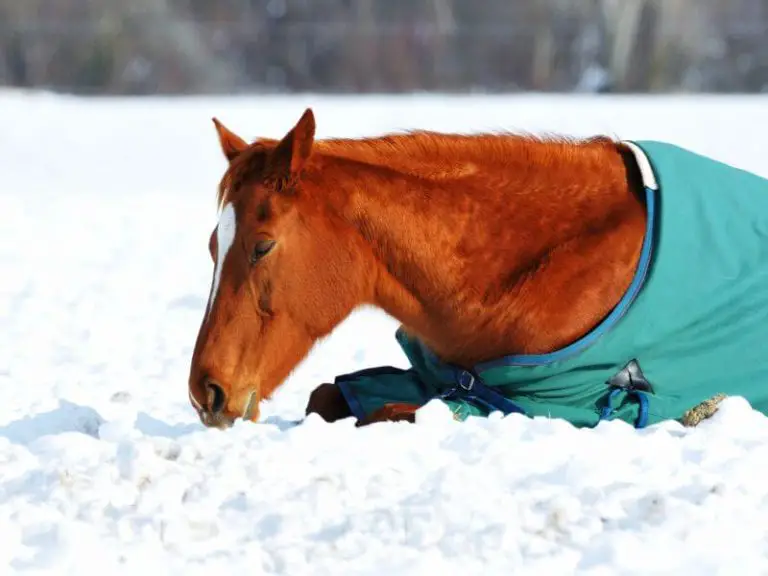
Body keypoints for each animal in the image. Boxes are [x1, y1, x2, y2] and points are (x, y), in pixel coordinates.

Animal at [187, 107, 768, 430]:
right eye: (214, 246)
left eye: (262, 247)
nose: (206, 391)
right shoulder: (437, 375)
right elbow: (325, 396)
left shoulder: (552, 405)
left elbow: (387, 413)